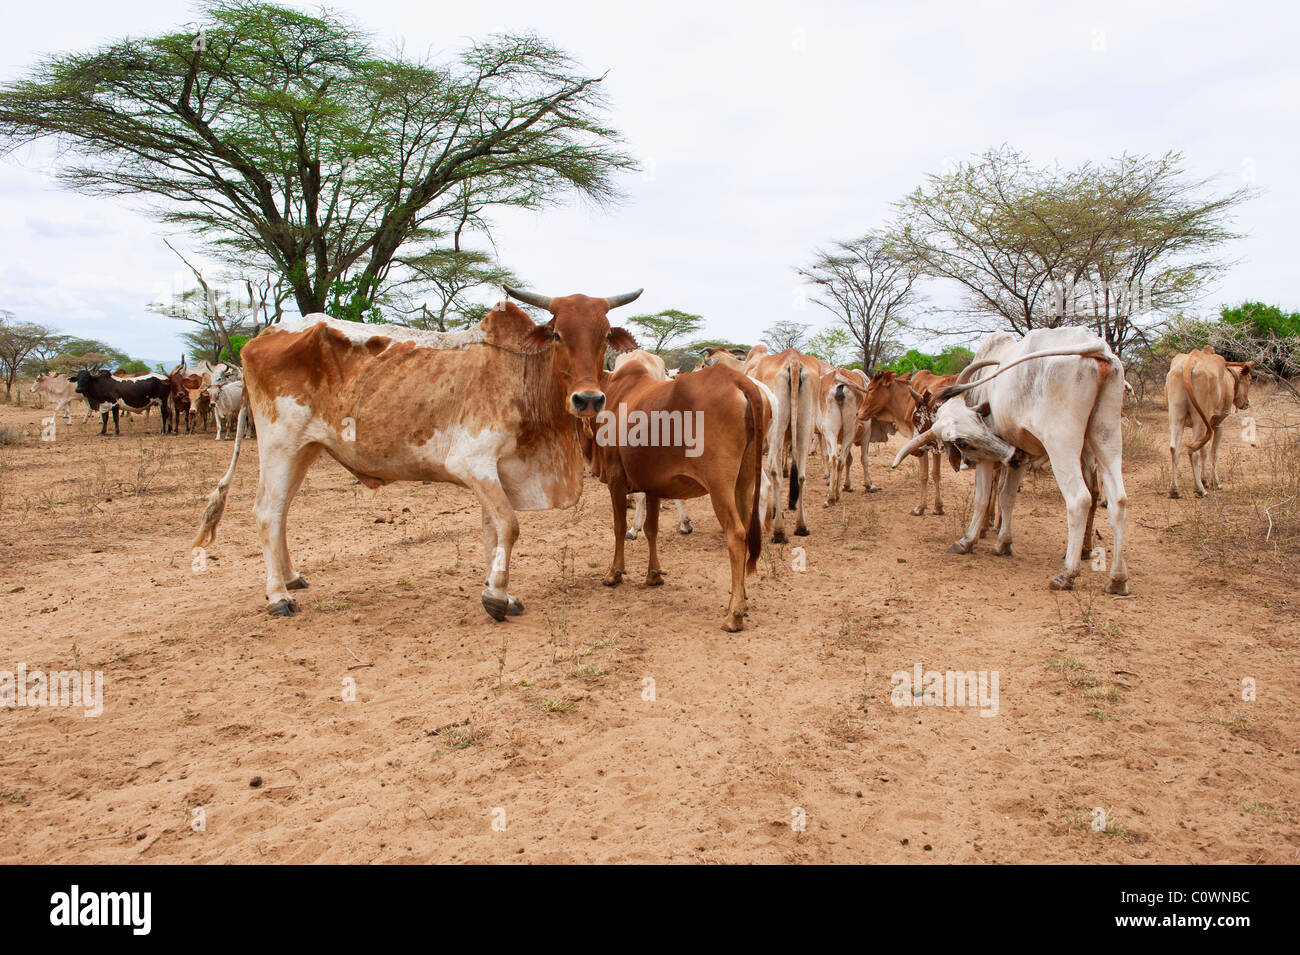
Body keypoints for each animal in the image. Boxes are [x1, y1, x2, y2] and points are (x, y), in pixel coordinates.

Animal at [192, 286, 643, 620]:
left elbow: (492, 531)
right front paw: (496, 597)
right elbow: (509, 526)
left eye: (603, 336)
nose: (589, 400)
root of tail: (261, 337)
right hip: (280, 444)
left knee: (281, 511)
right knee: (267, 512)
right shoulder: (474, 464)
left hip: (306, 448)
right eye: (558, 334)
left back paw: (291, 578)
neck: (519, 373)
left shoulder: (493, 471)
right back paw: (278, 597)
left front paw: (498, 590)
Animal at [581, 353, 768, 631]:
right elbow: (651, 529)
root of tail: (735, 377)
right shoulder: (652, 485)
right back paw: (741, 599)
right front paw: (653, 575)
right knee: (745, 529)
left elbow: (618, 527)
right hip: (744, 481)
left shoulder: (616, 480)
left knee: (736, 534)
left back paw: (733, 615)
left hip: (719, 485)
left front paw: (614, 573)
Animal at [891, 328, 1130, 595]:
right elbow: (1007, 498)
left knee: (1080, 500)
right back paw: (1117, 579)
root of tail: (1098, 349)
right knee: (1118, 500)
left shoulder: (986, 460)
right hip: (1106, 435)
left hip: (1062, 443)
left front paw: (967, 540)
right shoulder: (1020, 458)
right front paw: (1003, 544)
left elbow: (982, 499)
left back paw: (1067, 574)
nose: (1010, 453)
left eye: (966, 440)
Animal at [1165, 347, 1255, 498]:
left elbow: (1204, 451)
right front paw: (1215, 483)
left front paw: (1205, 480)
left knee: (1174, 449)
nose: (1247, 403)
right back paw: (1199, 490)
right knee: (1192, 451)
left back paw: (1174, 490)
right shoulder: (1218, 424)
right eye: (1248, 380)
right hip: (1200, 421)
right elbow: (1214, 453)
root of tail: (1189, 362)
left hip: (1176, 417)